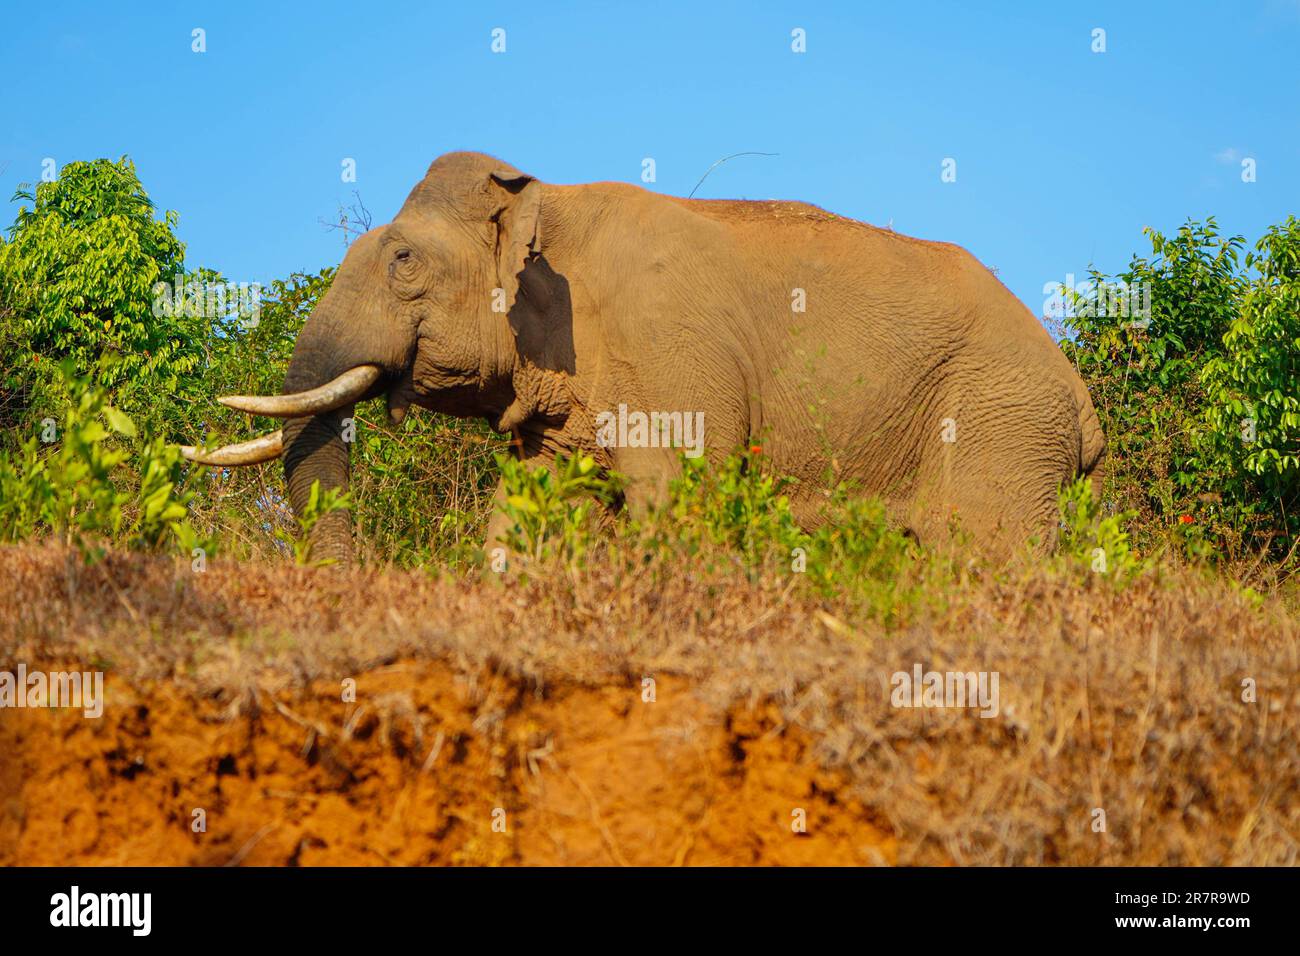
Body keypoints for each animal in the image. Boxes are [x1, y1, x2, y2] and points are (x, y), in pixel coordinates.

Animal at [184, 151, 1106, 564]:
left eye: (404, 262)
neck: (549, 203)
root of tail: (1082, 401)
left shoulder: (672, 358)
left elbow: (678, 500)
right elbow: (529, 509)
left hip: (1000, 423)